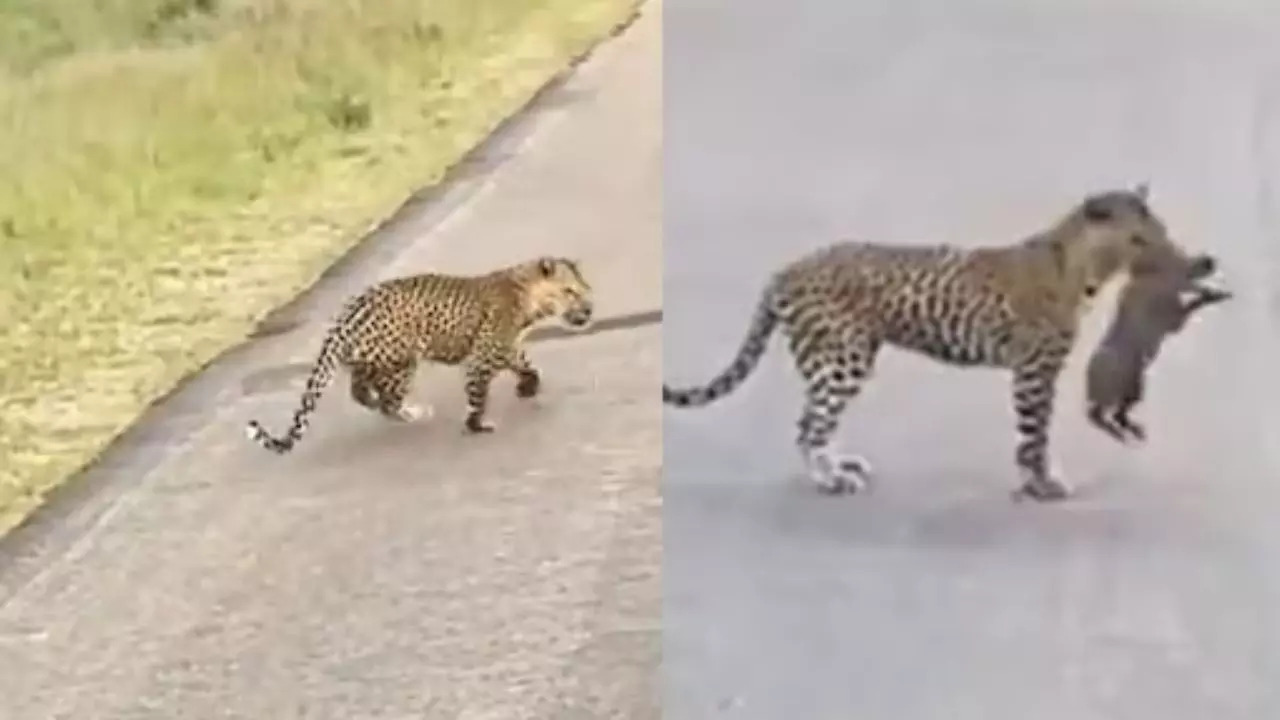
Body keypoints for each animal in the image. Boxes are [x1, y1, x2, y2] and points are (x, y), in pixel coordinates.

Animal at [246, 255, 593, 454]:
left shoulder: (506, 349)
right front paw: (476, 425)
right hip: (403, 361)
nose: (589, 310)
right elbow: (478, 396)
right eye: (570, 292)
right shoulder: (480, 360)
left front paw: (528, 387)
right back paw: (414, 413)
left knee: (360, 390)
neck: (528, 297)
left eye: (583, 289)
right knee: (386, 399)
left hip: (374, 360)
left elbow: (527, 366)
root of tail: (345, 316)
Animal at [662, 184, 1212, 502]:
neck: (1082, 265)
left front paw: (1034, 480)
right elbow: (1035, 433)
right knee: (808, 427)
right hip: (843, 357)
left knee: (812, 422)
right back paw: (833, 480)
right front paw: (1042, 482)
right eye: (1138, 238)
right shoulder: (1034, 371)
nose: (1178, 257)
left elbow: (1032, 434)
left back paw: (840, 466)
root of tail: (786, 268)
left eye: (1158, 230)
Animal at [1085, 254, 1231, 445]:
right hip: (1117, 388)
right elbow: (1195, 299)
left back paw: (1131, 431)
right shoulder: (1175, 314)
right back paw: (1121, 432)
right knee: (1099, 414)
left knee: (1115, 414)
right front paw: (1216, 294)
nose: (1210, 260)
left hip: (1133, 386)